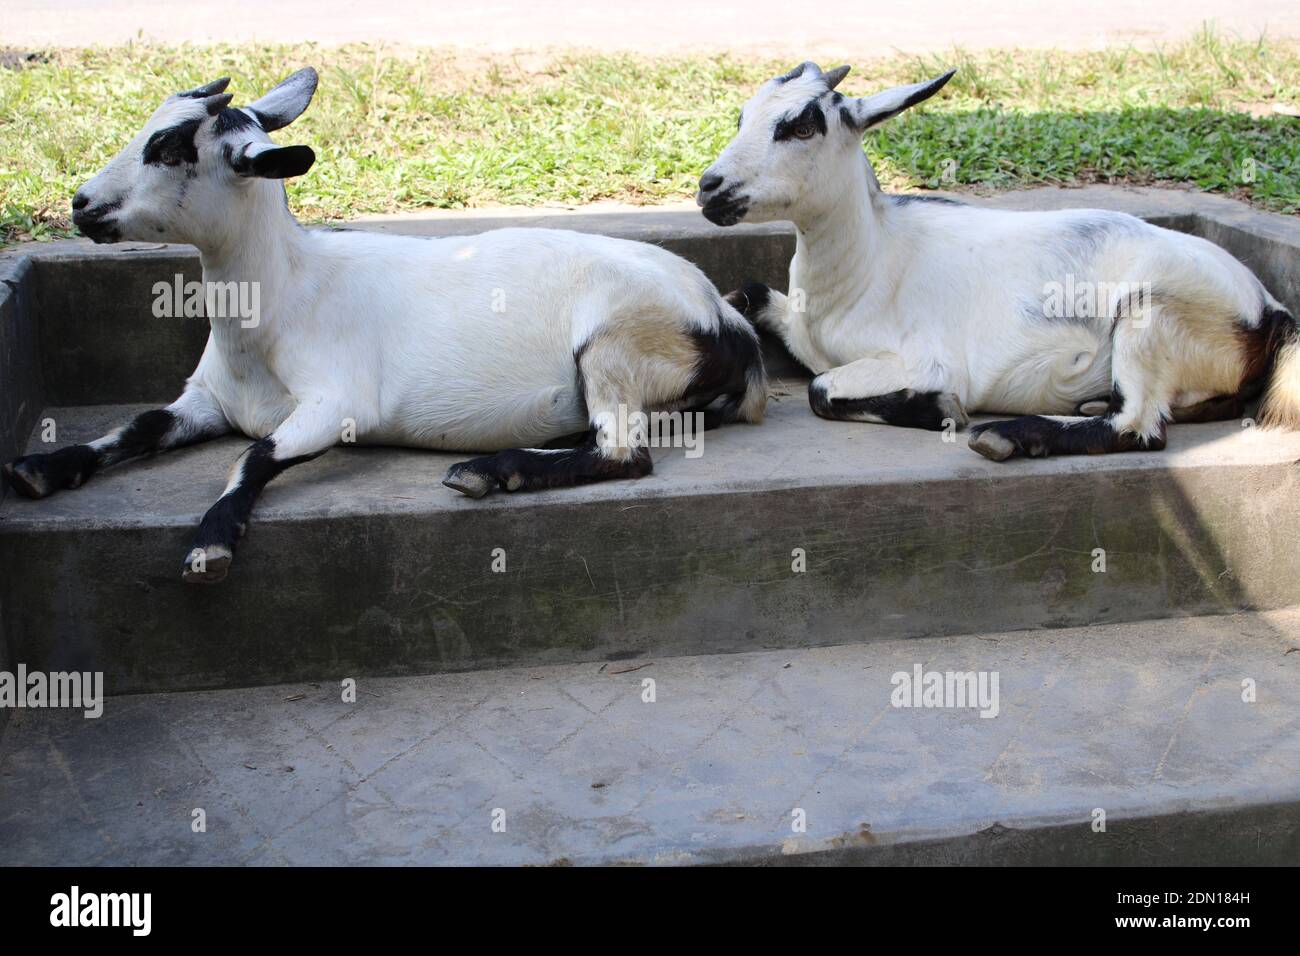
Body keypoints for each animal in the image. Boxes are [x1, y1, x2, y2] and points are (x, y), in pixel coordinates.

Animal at [1, 69, 766, 583]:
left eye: (167, 148)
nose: (81, 203)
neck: (281, 302)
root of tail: (730, 324)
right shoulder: (207, 402)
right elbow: (136, 427)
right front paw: (38, 469)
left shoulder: (338, 402)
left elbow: (254, 455)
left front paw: (210, 541)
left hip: (614, 340)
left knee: (623, 453)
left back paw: (488, 471)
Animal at [697, 62, 1300, 461]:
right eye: (743, 116)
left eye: (802, 125)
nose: (710, 188)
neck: (870, 265)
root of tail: (1269, 310)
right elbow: (746, 295)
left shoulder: (926, 358)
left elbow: (822, 390)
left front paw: (940, 408)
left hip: (1152, 309)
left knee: (1138, 427)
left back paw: (1010, 434)